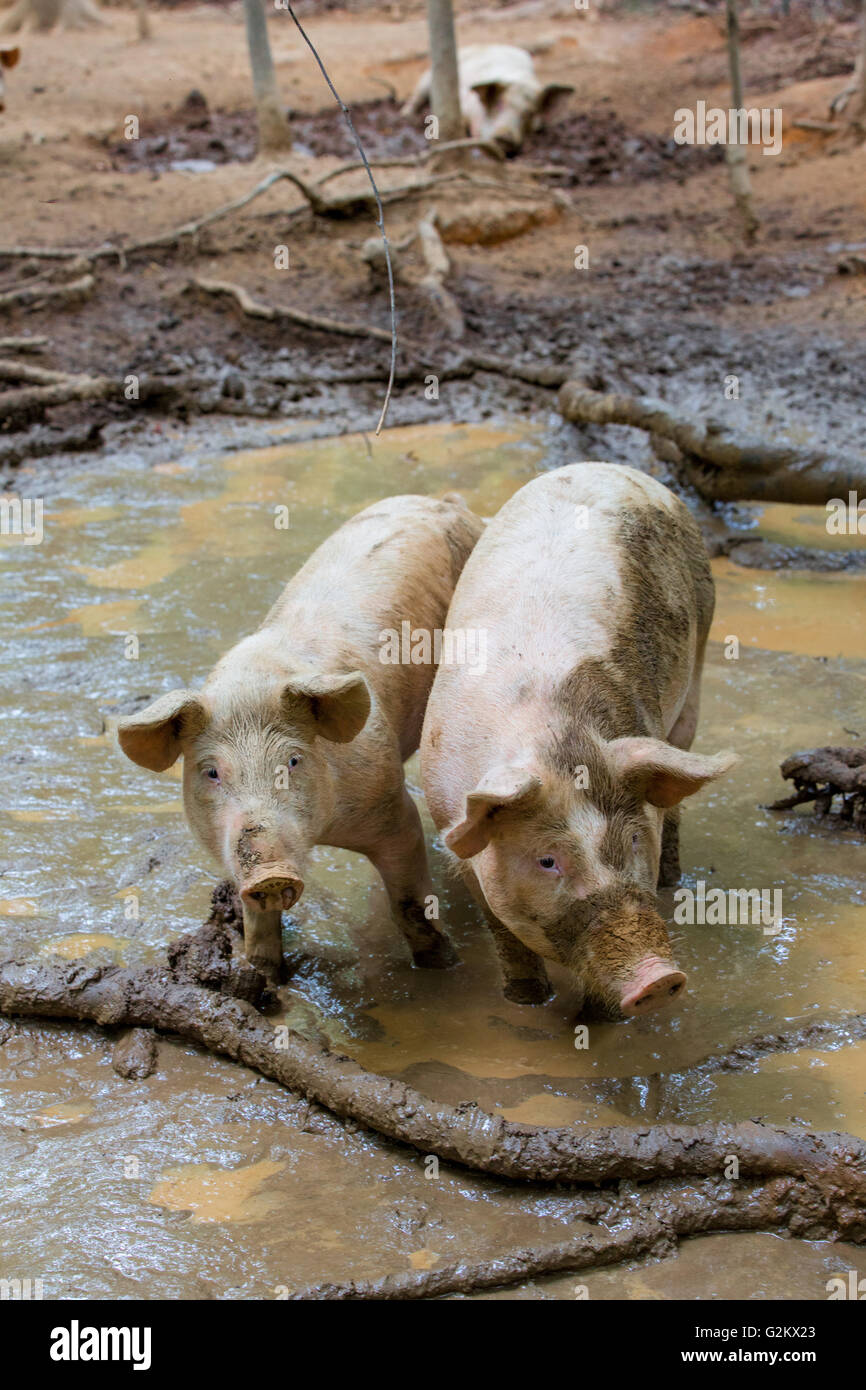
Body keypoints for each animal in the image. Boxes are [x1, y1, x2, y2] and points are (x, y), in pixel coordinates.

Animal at [118, 494, 484, 982]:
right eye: (211, 772)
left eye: (292, 761)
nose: (271, 872)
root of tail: (445, 500)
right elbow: (257, 925)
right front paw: (264, 975)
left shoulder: (391, 804)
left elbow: (410, 902)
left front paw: (443, 968)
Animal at [402, 44, 573, 154]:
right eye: (498, 104)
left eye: (529, 114)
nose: (505, 137)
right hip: (428, 77)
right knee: (416, 96)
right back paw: (406, 115)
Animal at [420, 463, 736, 1019]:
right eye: (548, 860)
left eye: (633, 839)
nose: (659, 979)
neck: (553, 744)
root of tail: (612, 467)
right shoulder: (453, 828)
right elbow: (505, 934)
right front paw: (527, 1001)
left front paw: (600, 1019)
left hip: (697, 657)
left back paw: (673, 881)